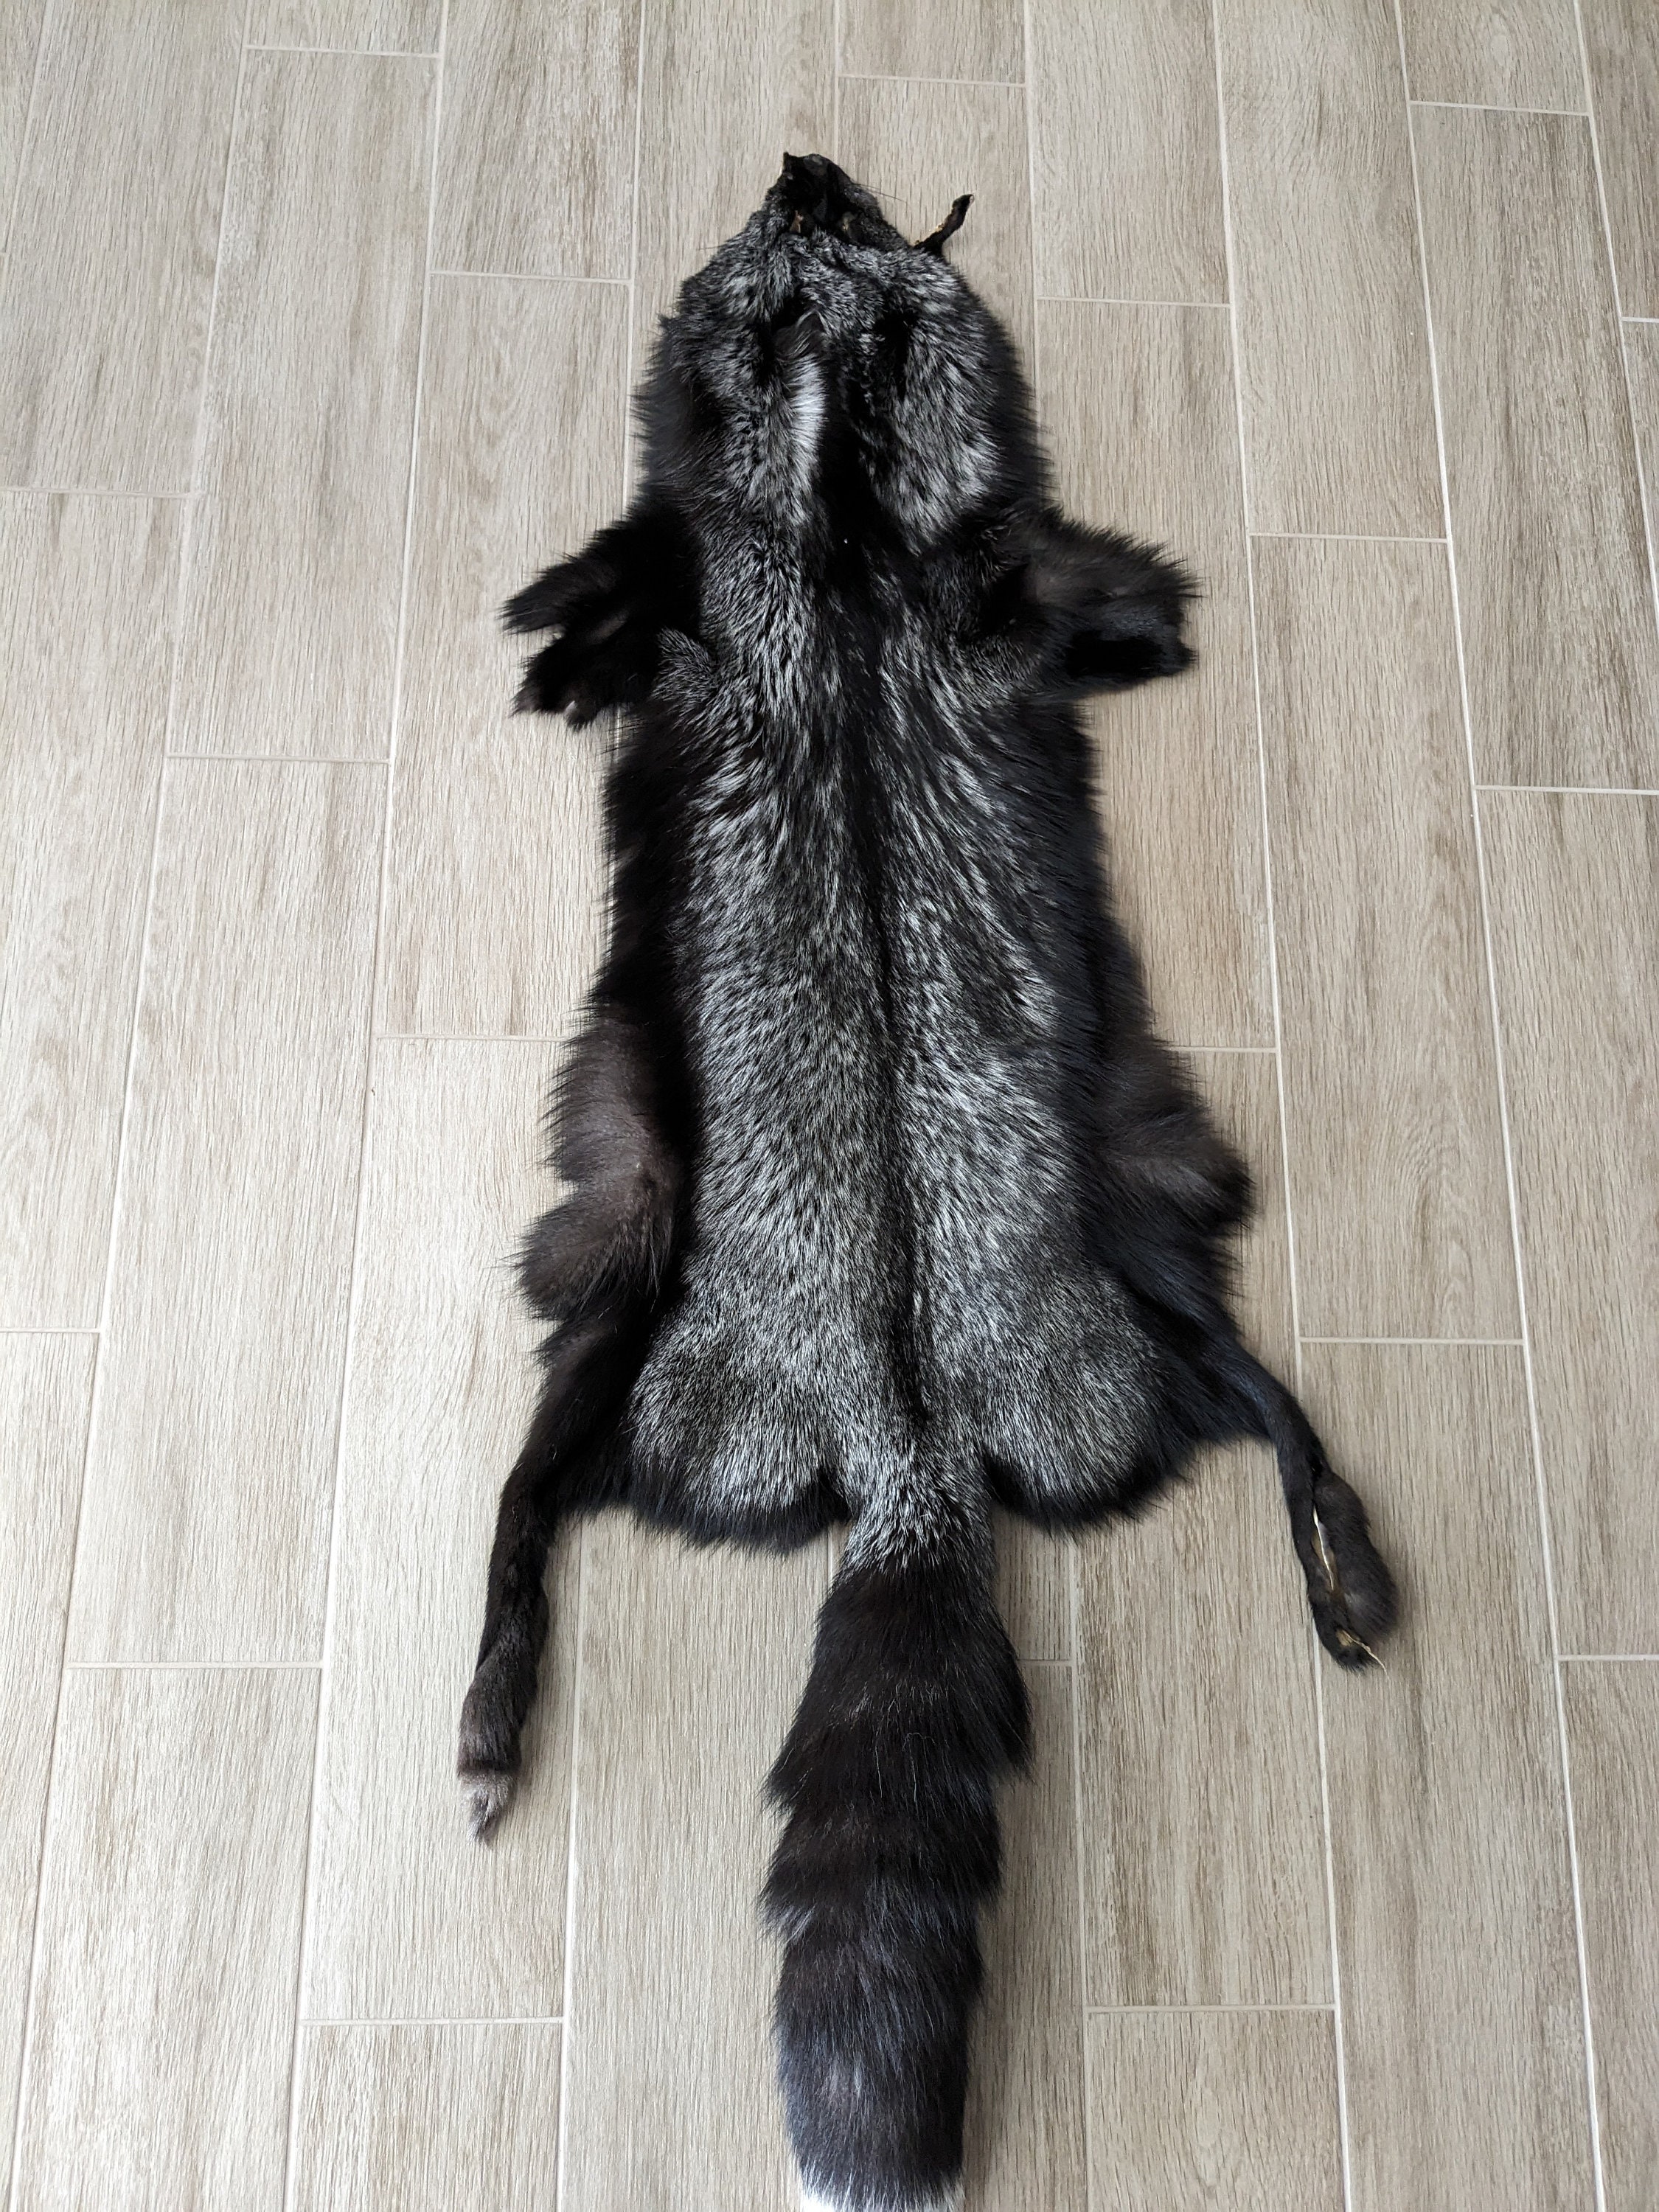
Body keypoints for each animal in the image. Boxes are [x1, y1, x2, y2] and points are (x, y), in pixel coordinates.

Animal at [458, 152, 1397, 2212]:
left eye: (849, 244)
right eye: (779, 251)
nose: (808, 159)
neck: (834, 531)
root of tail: (907, 1427)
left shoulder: (1008, 585)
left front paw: (554, 626)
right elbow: (620, 597)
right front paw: (557, 634)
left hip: (912, 1241)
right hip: (800, 1245)